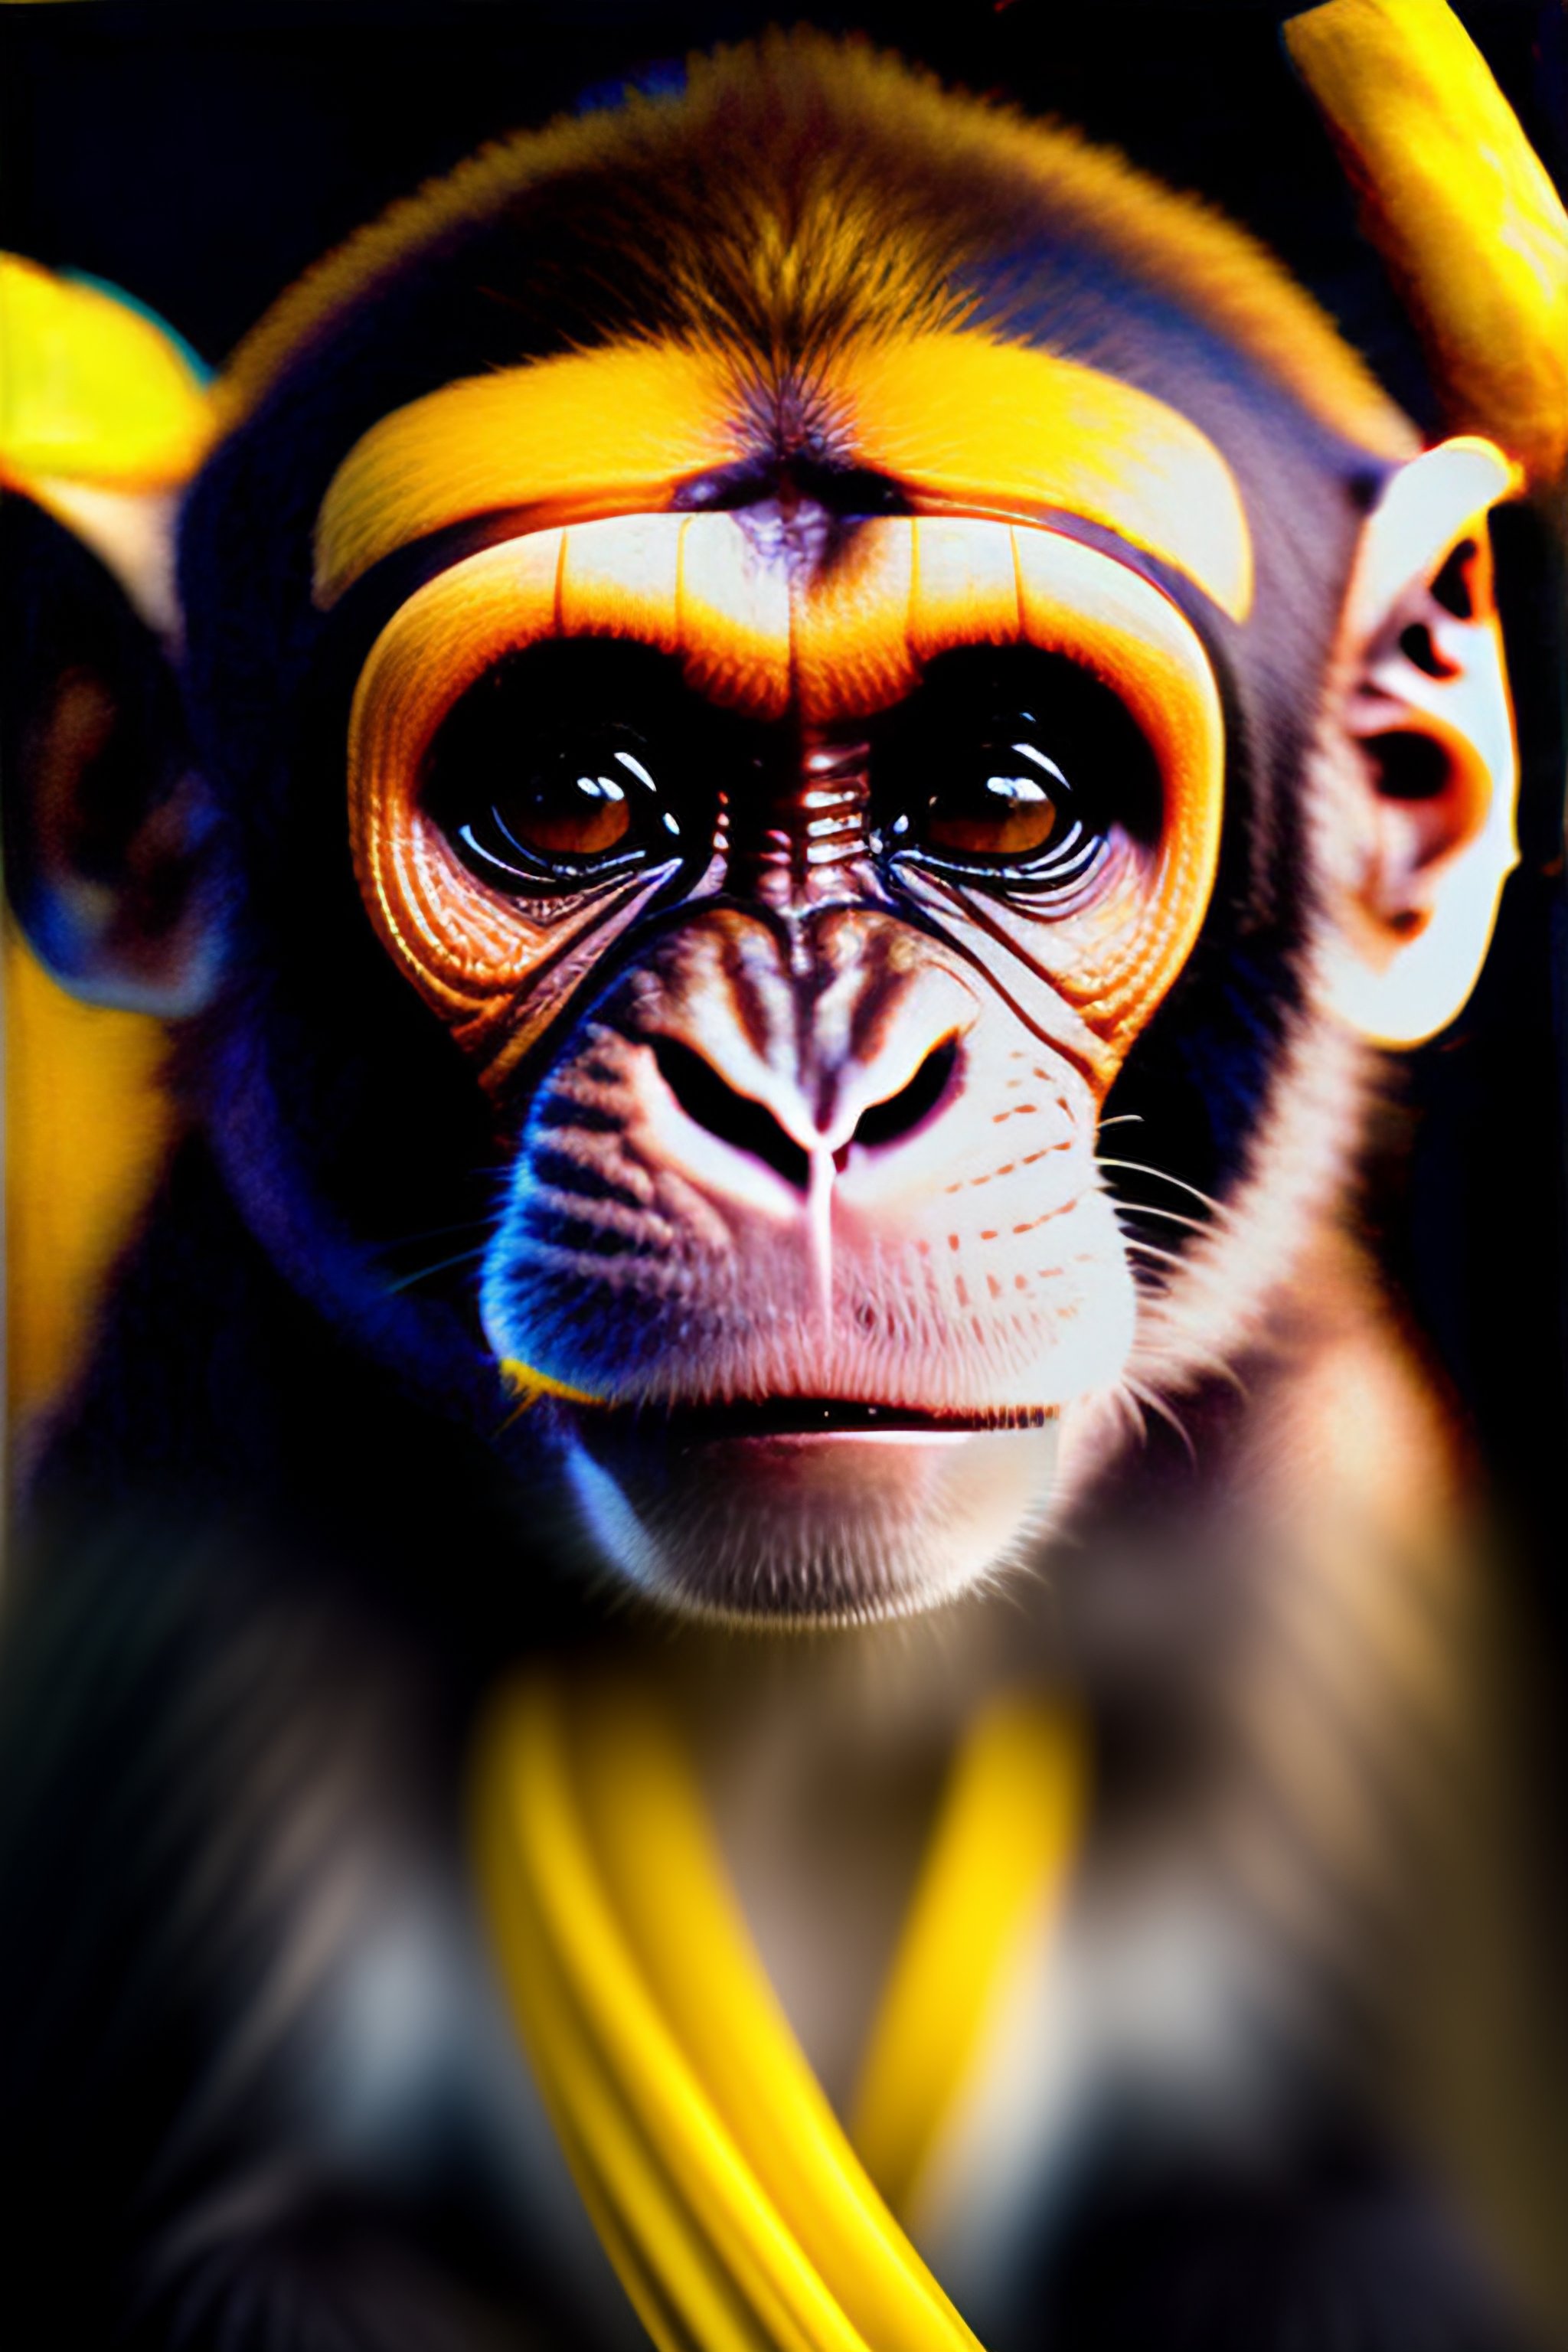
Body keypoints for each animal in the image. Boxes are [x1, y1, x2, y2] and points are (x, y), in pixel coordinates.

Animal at [1, 9, 1566, 2349]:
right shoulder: (183, 1597)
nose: (812, 1089)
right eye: (575, 794)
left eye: (1005, 796)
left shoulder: (1330, 1583)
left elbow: (1333, 2236)